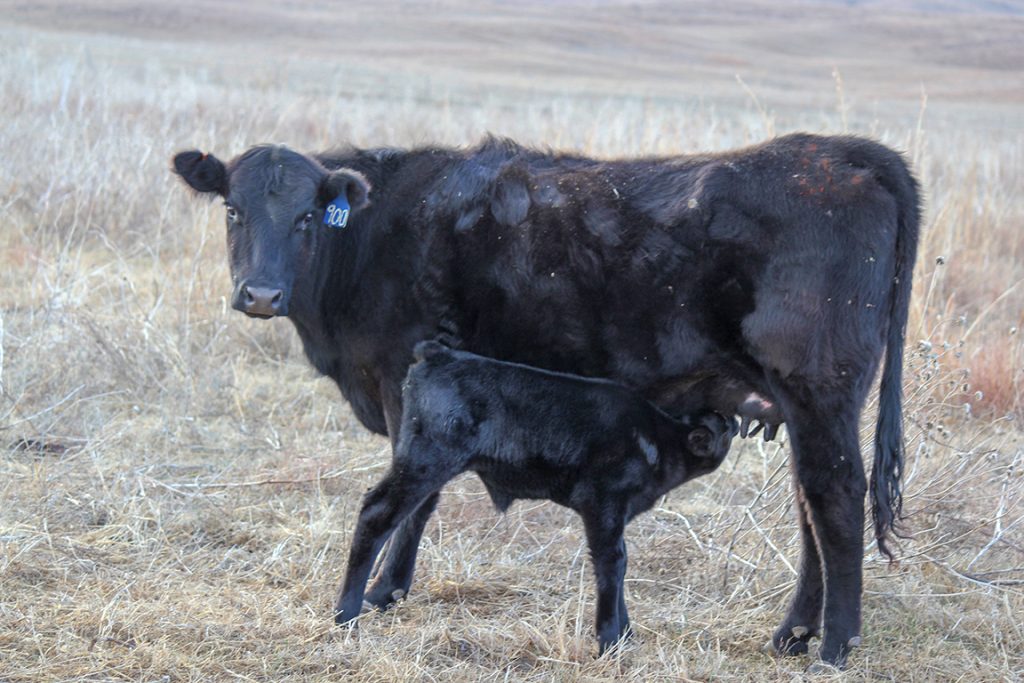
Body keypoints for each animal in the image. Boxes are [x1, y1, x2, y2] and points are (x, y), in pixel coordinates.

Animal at [335, 340, 738, 653]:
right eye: (719, 425)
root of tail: (438, 354)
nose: (735, 420)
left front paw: (624, 634)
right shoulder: (603, 504)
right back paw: (345, 617)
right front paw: (610, 639)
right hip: (425, 462)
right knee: (377, 513)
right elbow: (613, 562)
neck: (657, 437)